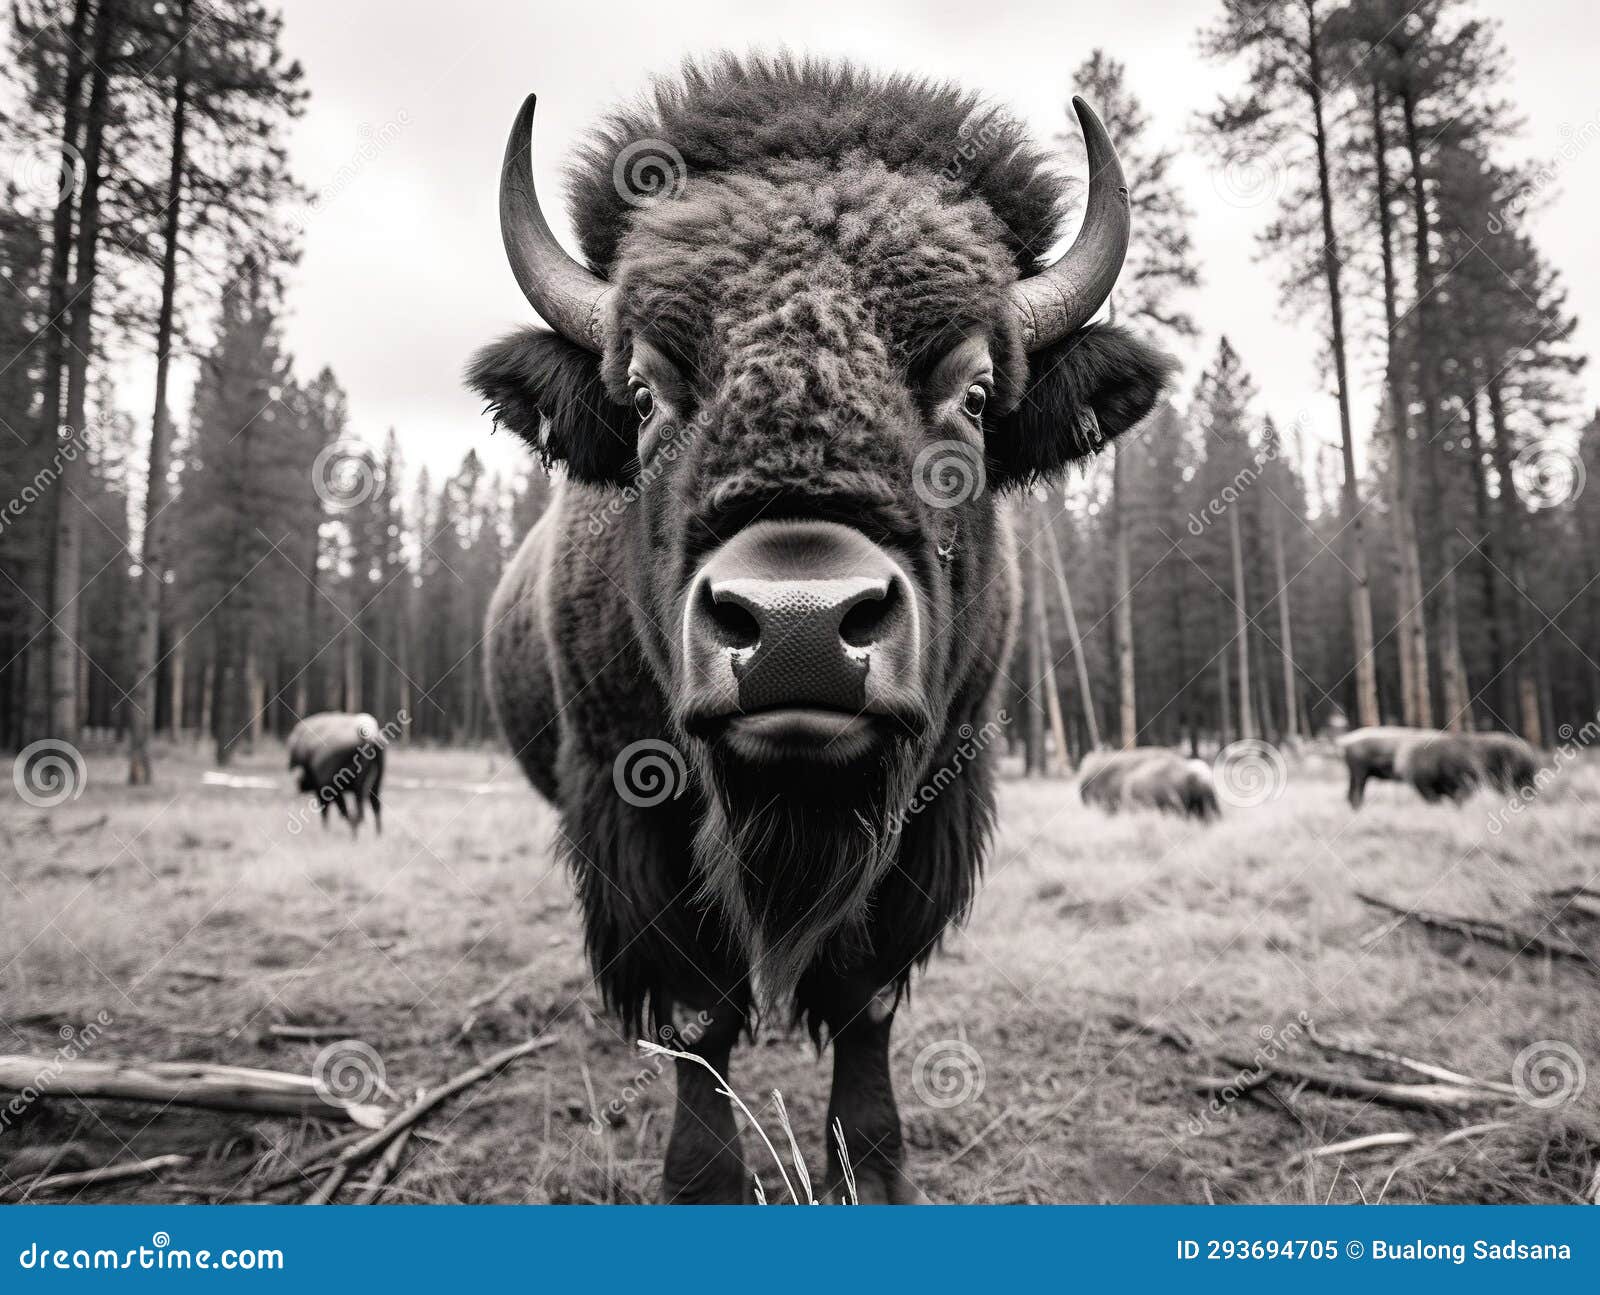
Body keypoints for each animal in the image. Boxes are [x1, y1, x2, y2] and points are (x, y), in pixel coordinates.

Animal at [468, 56, 1170, 1202]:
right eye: (645, 392)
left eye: (975, 391)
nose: (798, 626)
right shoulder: (635, 818)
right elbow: (698, 1014)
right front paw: (705, 1180)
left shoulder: (927, 814)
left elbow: (865, 998)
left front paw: (873, 1168)